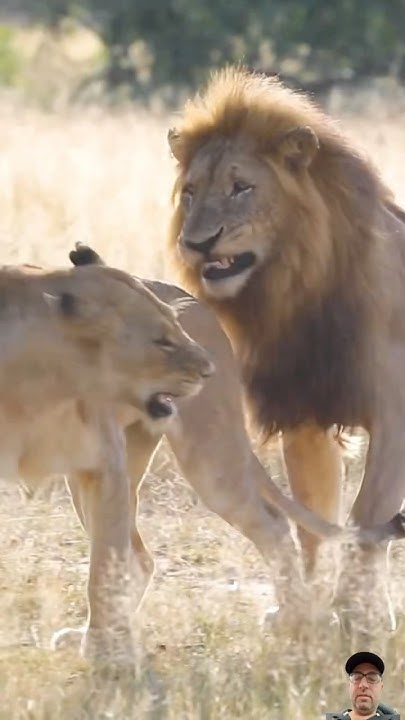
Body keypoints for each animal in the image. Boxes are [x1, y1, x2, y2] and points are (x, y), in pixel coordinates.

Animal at [0, 261, 214, 664]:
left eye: (175, 324)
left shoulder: (106, 467)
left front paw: (109, 651)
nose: (210, 371)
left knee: (140, 559)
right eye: (161, 341)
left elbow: (106, 568)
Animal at [165, 66, 405, 622]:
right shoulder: (304, 416)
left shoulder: (395, 414)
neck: (297, 289)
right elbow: (314, 517)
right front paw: (310, 612)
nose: (197, 244)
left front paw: (355, 615)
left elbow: (368, 513)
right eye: (190, 192)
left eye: (241, 188)